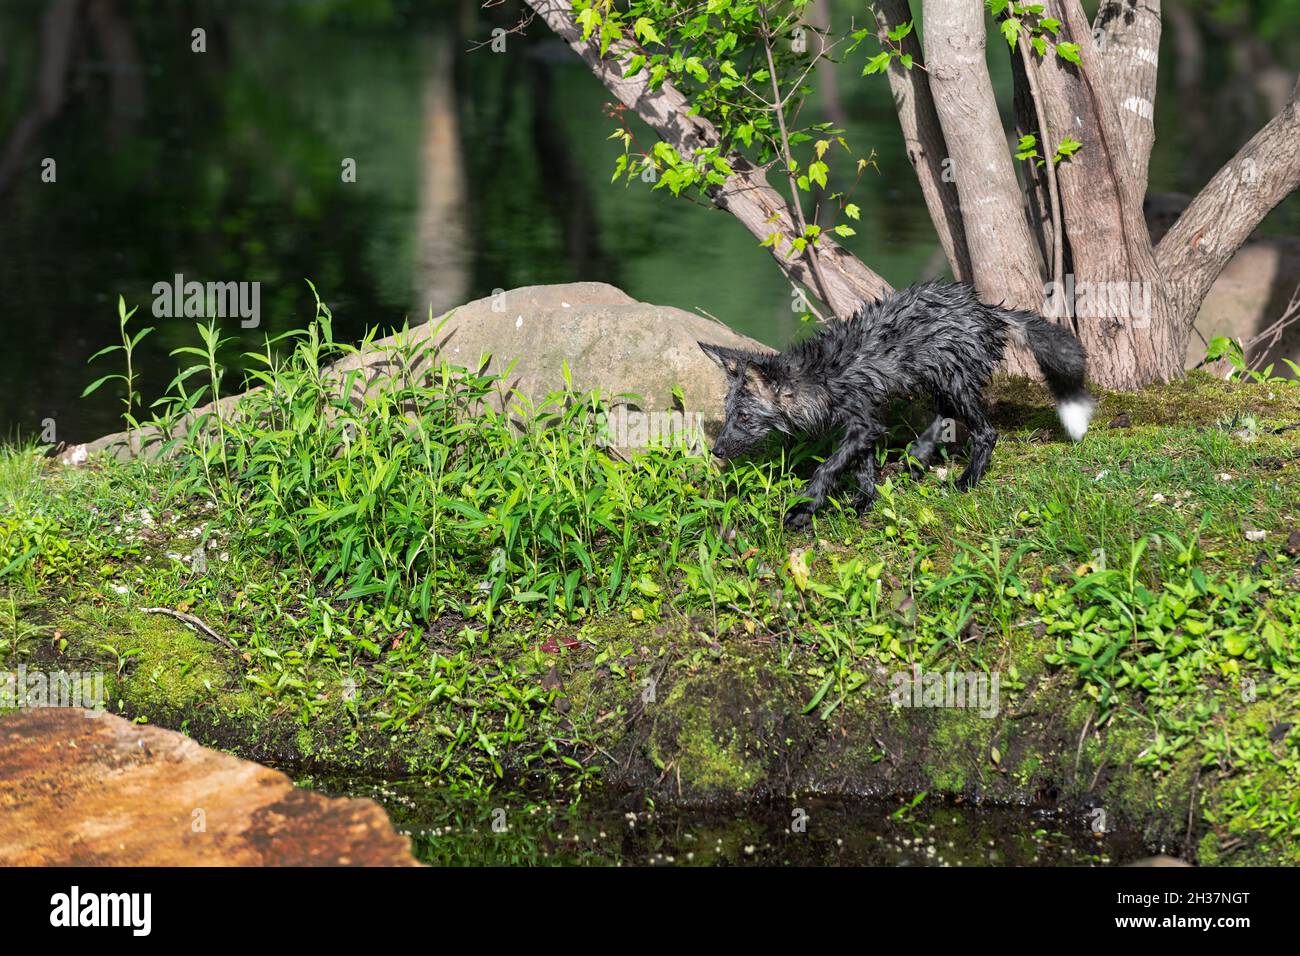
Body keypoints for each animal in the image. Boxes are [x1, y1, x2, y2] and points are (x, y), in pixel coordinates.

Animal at [699, 280, 1094, 531]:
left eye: (745, 416)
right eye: (729, 414)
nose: (717, 451)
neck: (819, 378)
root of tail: (988, 311)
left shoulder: (862, 422)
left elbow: (827, 467)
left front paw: (804, 509)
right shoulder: (864, 424)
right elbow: (862, 469)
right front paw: (864, 502)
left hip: (956, 381)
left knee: (986, 432)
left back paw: (967, 480)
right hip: (939, 378)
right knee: (945, 415)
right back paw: (917, 456)